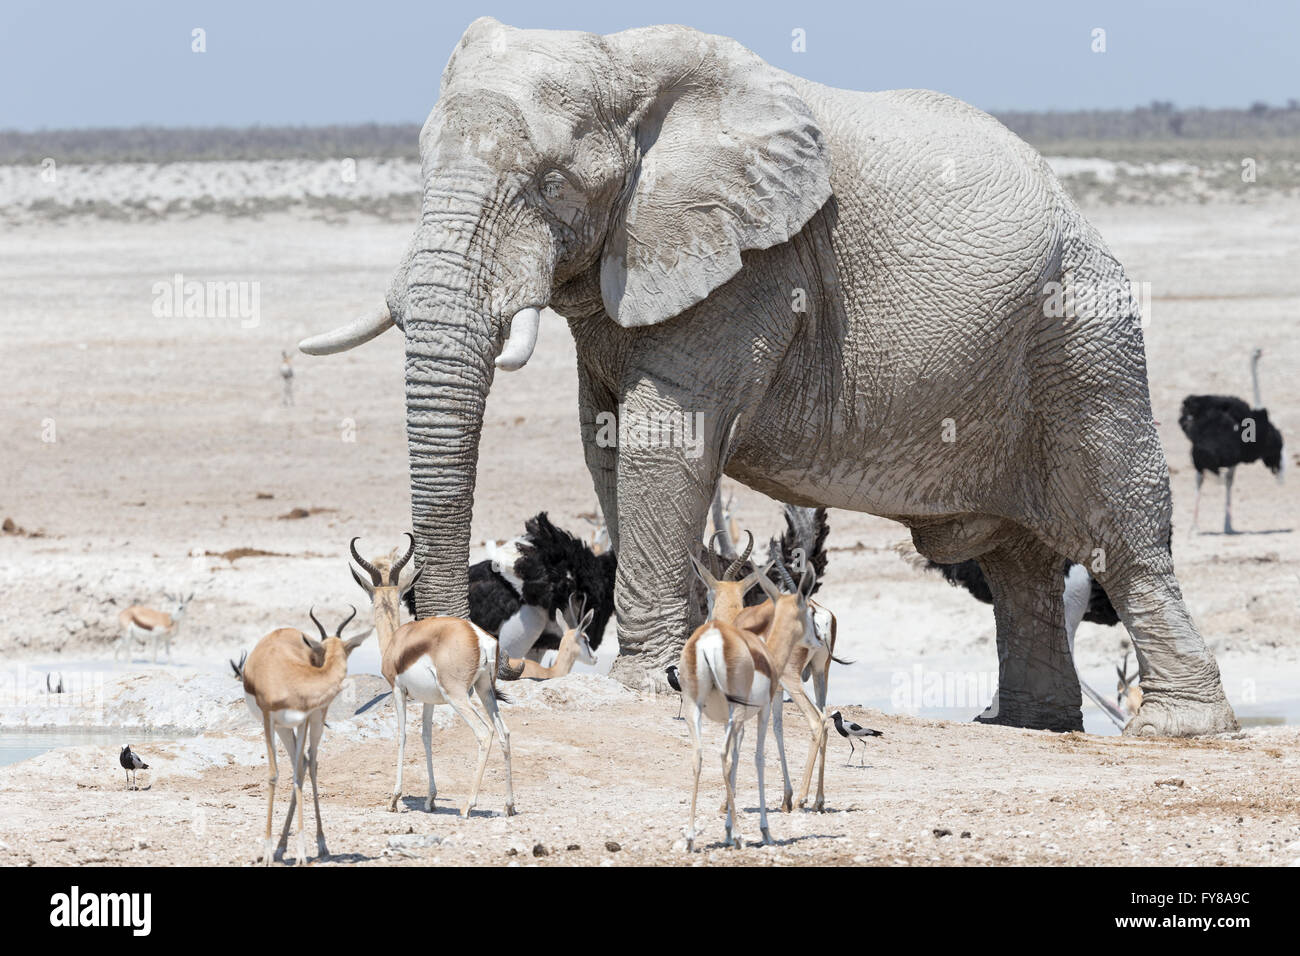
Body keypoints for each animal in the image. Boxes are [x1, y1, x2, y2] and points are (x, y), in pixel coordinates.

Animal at [300, 18, 1237, 737]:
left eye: (553, 186)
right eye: (422, 168)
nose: (463, 664)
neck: (621, 60)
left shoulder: (753, 267)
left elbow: (663, 445)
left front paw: (644, 685)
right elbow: (609, 447)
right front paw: (686, 666)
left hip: (1084, 338)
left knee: (1121, 536)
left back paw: (1179, 727)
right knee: (1017, 567)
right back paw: (1025, 726)